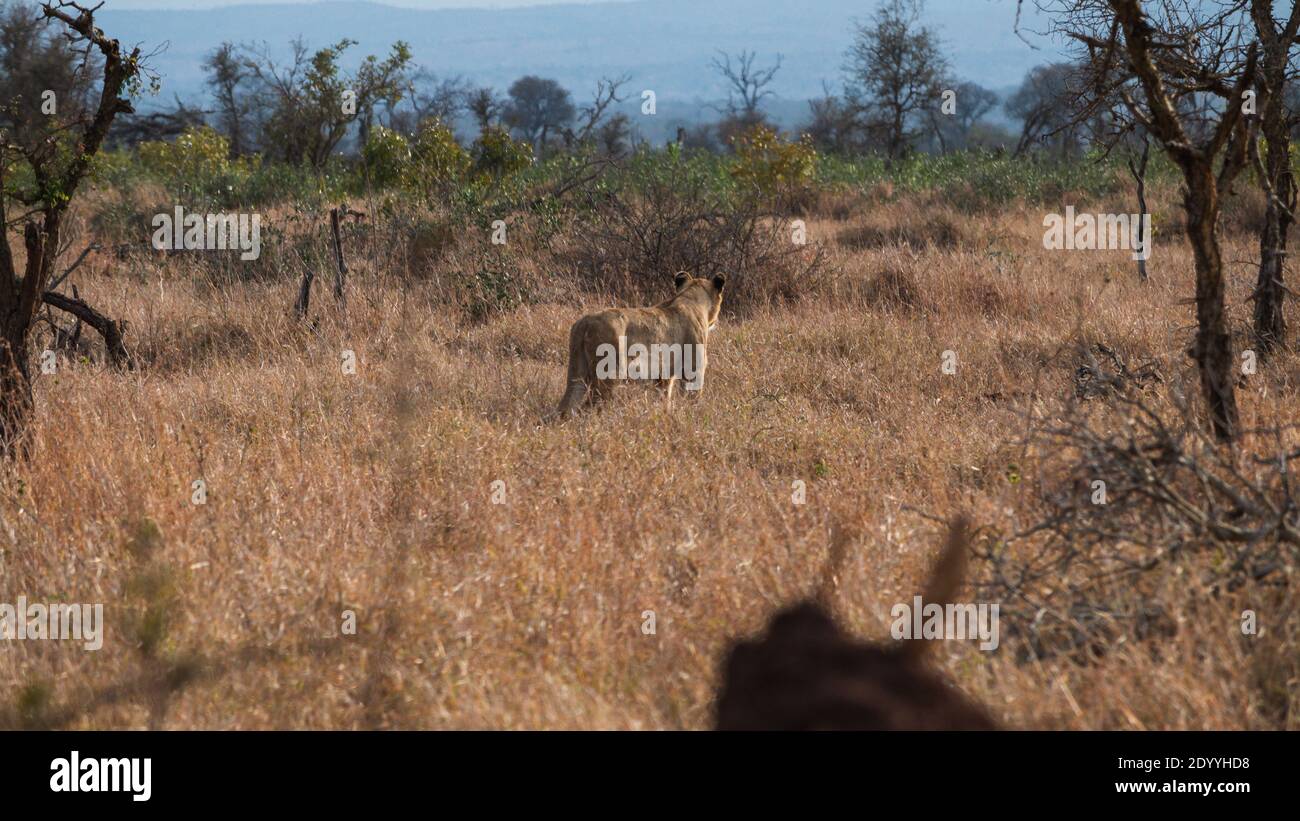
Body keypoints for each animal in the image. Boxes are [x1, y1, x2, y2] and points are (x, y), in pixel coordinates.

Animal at [553, 272, 725, 418]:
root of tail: (585, 322)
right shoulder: (693, 369)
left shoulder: (662, 376)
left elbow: (663, 399)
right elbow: (693, 397)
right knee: (590, 406)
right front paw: (694, 414)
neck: (690, 298)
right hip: (610, 372)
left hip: (577, 369)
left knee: (567, 404)